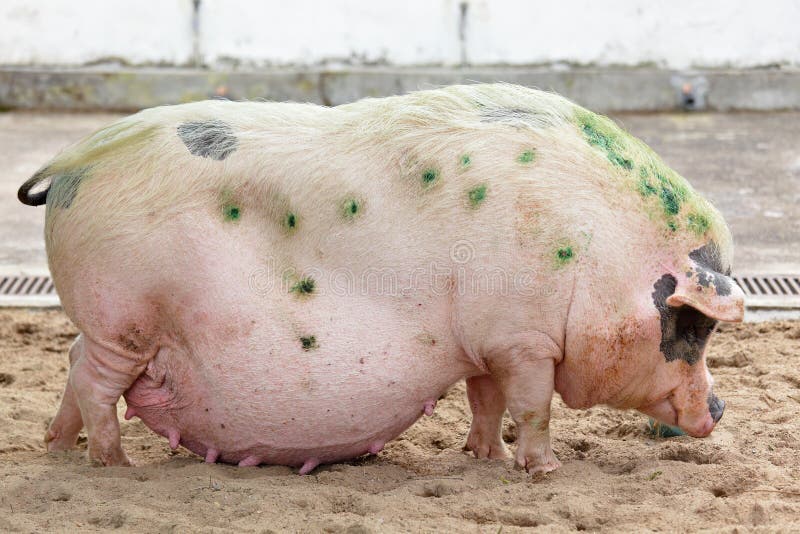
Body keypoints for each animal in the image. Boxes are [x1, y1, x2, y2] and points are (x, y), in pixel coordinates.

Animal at [18, 83, 744, 474]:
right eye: (692, 327)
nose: (718, 410)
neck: (601, 256)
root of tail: (71, 165)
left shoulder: (487, 340)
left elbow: (486, 400)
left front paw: (484, 459)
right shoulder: (526, 339)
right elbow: (532, 407)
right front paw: (544, 470)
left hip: (111, 326)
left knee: (74, 365)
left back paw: (57, 449)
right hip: (125, 320)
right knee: (94, 382)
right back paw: (116, 465)